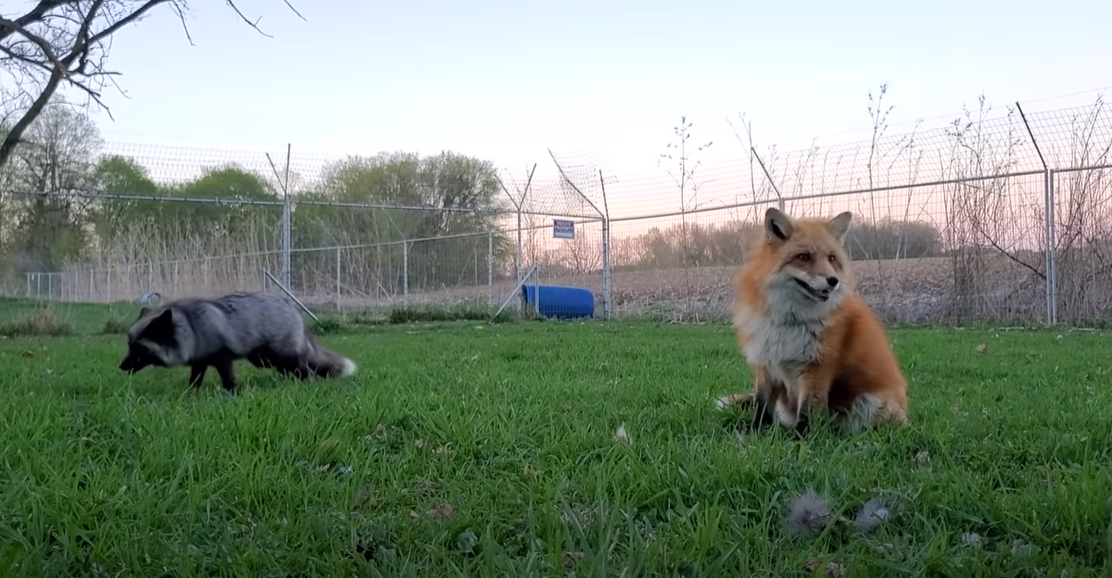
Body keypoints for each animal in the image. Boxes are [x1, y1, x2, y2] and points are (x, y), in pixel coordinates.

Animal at [119, 292, 357, 392]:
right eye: (129, 345)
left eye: (138, 348)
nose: (121, 367)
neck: (193, 328)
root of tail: (292, 308)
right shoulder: (200, 360)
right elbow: (194, 380)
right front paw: (191, 393)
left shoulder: (222, 358)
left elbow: (228, 379)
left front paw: (232, 394)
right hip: (265, 361)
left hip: (280, 357)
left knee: (305, 368)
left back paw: (309, 384)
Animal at [715, 207, 909, 435]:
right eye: (804, 257)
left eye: (832, 258)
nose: (833, 281)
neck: (790, 322)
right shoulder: (766, 363)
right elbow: (762, 408)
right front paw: (754, 433)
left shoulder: (817, 368)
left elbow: (808, 411)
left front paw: (799, 438)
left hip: (869, 404)